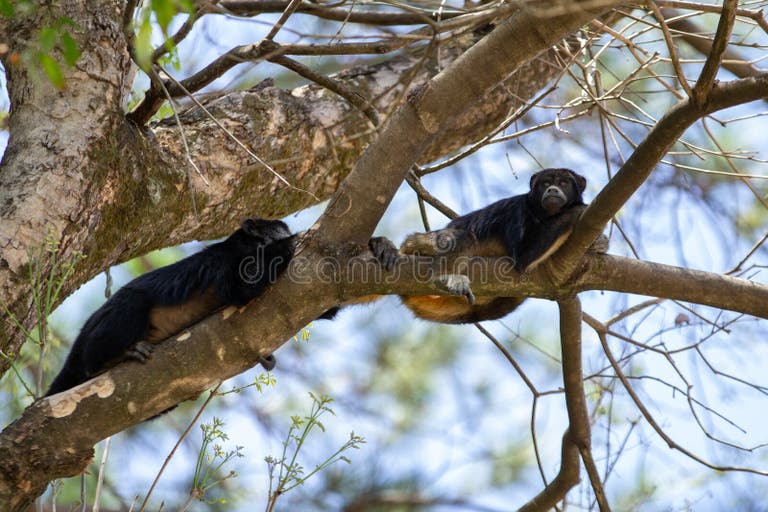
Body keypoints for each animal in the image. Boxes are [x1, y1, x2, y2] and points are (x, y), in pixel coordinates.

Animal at [394, 168, 607, 324]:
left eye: (564, 183)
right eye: (545, 183)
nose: (553, 189)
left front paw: (599, 244)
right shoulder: (518, 210)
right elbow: (523, 257)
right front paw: (578, 210)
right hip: (427, 241)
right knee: (465, 237)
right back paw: (445, 277)